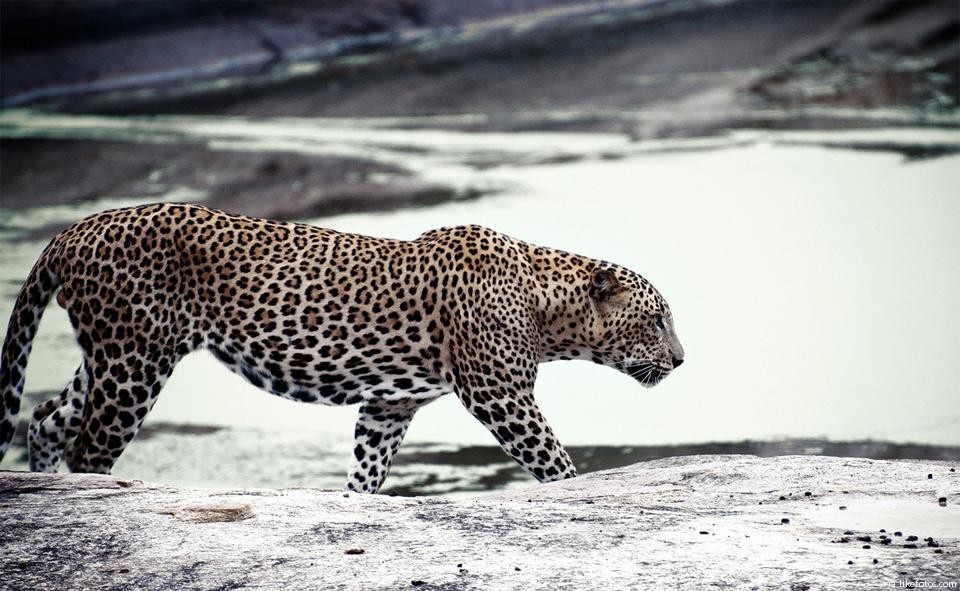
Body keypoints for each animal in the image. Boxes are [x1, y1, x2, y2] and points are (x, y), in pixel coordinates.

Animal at [0, 203, 684, 493]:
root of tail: (71, 230)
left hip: (112, 355)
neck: (547, 308)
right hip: (135, 362)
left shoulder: (389, 406)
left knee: (45, 417)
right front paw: (576, 489)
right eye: (656, 321)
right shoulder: (501, 396)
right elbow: (555, 463)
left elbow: (366, 470)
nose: (681, 360)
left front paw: (355, 504)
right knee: (89, 448)